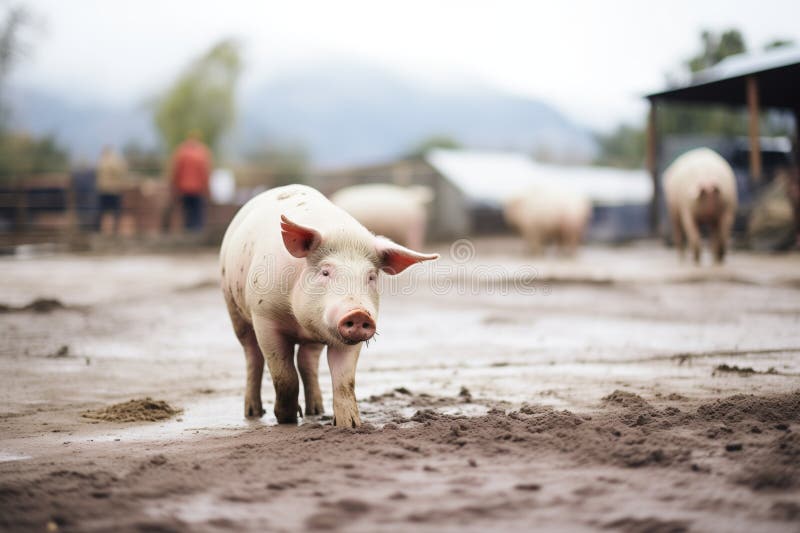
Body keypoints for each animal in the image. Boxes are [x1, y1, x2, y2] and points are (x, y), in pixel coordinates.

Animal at [220, 184, 438, 427]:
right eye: (325, 271)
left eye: (371, 276)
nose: (359, 313)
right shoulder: (264, 317)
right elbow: (284, 375)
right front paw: (287, 419)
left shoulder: (349, 341)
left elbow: (344, 381)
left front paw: (351, 425)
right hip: (234, 309)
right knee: (253, 357)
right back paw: (253, 413)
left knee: (306, 362)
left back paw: (315, 410)